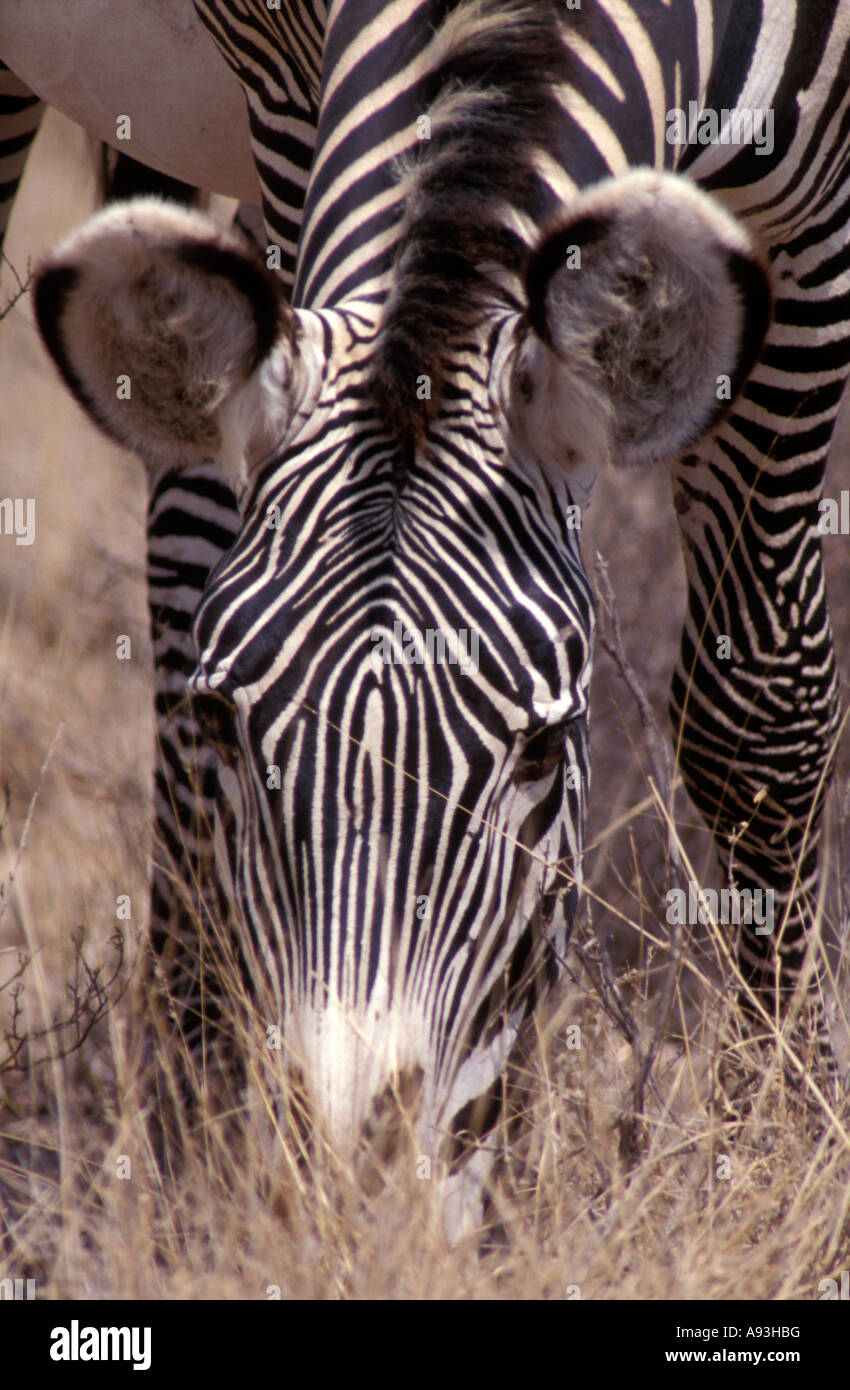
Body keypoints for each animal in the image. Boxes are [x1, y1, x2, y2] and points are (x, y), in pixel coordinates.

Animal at [10, 0, 850, 1226]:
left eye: (546, 751)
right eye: (229, 729)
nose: (356, 1194)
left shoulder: (810, 210)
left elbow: (760, 712)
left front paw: (780, 1140)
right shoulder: (289, 100)